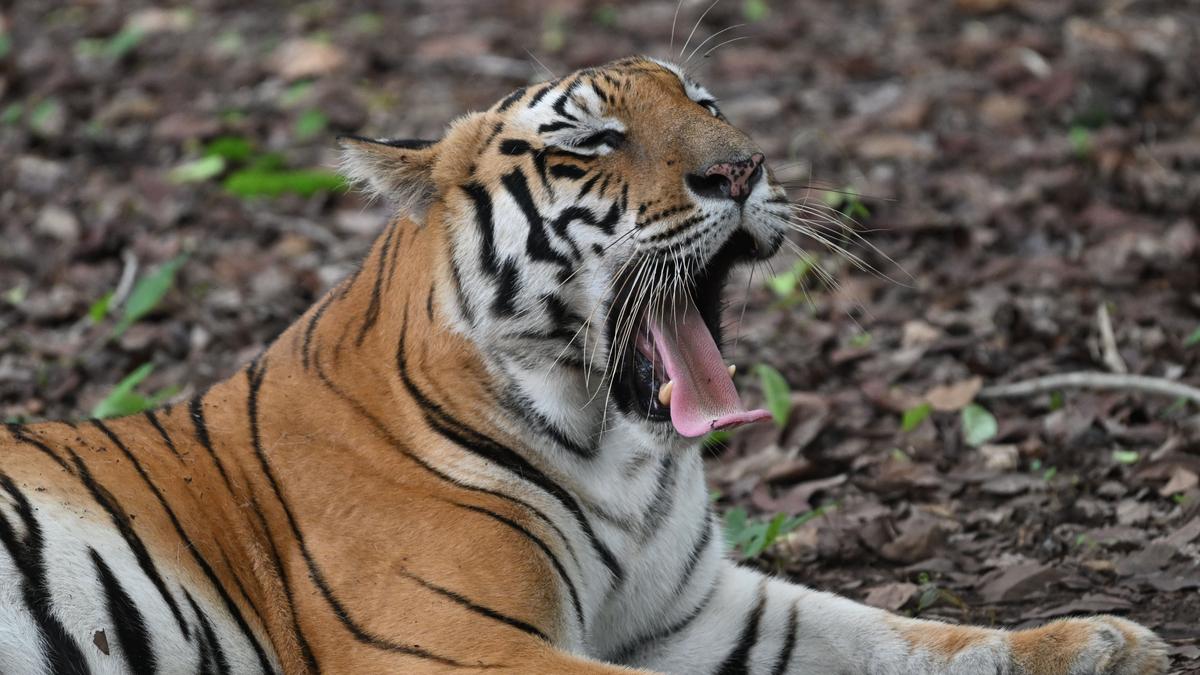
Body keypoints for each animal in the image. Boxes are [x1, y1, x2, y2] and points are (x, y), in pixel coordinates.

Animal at [0, 56, 1168, 675]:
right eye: (594, 141)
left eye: (703, 103)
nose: (744, 167)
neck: (619, 455)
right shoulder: (458, 645)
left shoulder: (704, 612)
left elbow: (900, 633)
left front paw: (1101, 640)